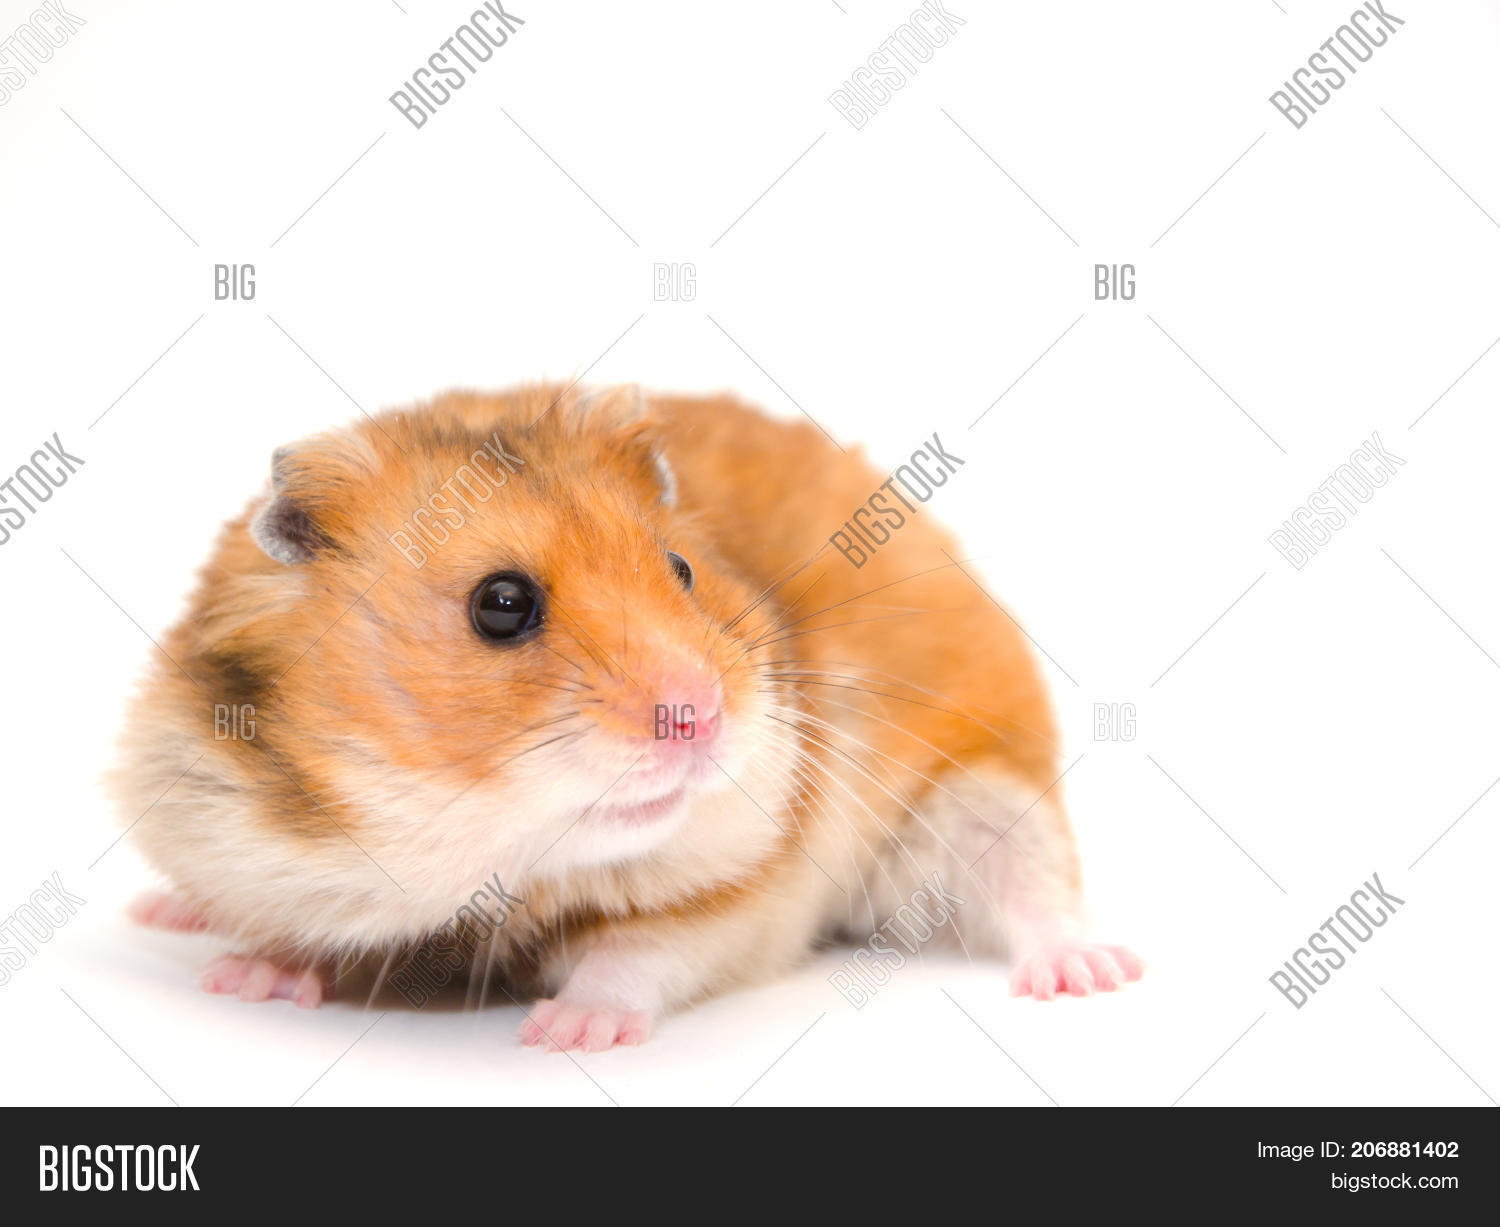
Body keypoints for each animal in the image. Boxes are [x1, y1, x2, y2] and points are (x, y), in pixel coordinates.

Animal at [112, 384, 1143, 1050]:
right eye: (500, 604)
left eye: (682, 568)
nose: (705, 717)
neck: (503, 854)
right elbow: (295, 928)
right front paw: (244, 977)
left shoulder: (749, 894)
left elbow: (639, 949)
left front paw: (563, 1033)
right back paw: (168, 912)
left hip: (973, 797)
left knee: (1034, 882)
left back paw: (1091, 973)